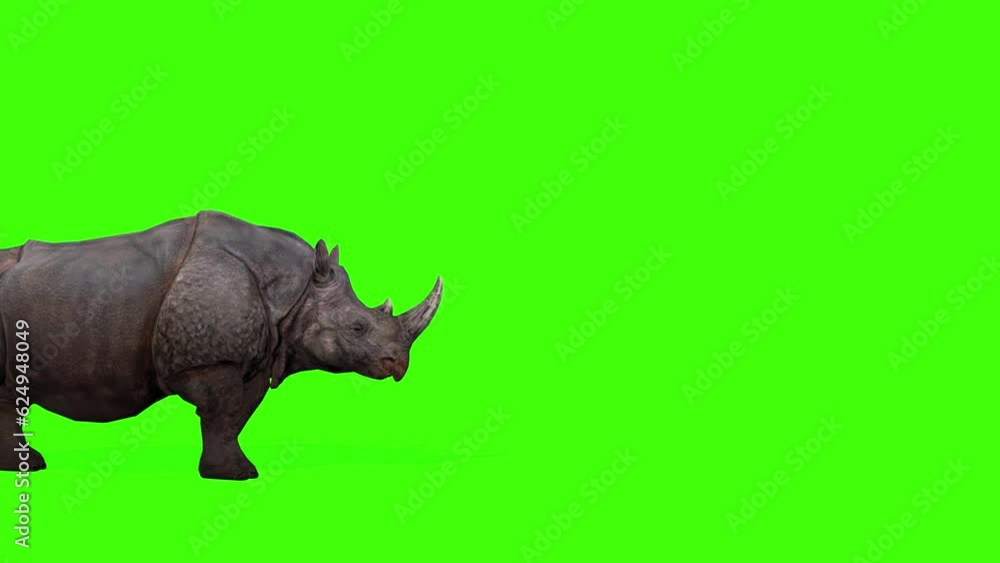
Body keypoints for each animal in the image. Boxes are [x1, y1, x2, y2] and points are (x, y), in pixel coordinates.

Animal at [0, 211, 441, 479]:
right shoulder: (211, 359)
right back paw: (29, 467)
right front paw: (238, 475)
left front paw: (233, 470)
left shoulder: (255, 358)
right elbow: (223, 412)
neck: (294, 294)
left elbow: (234, 417)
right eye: (357, 327)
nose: (399, 365)